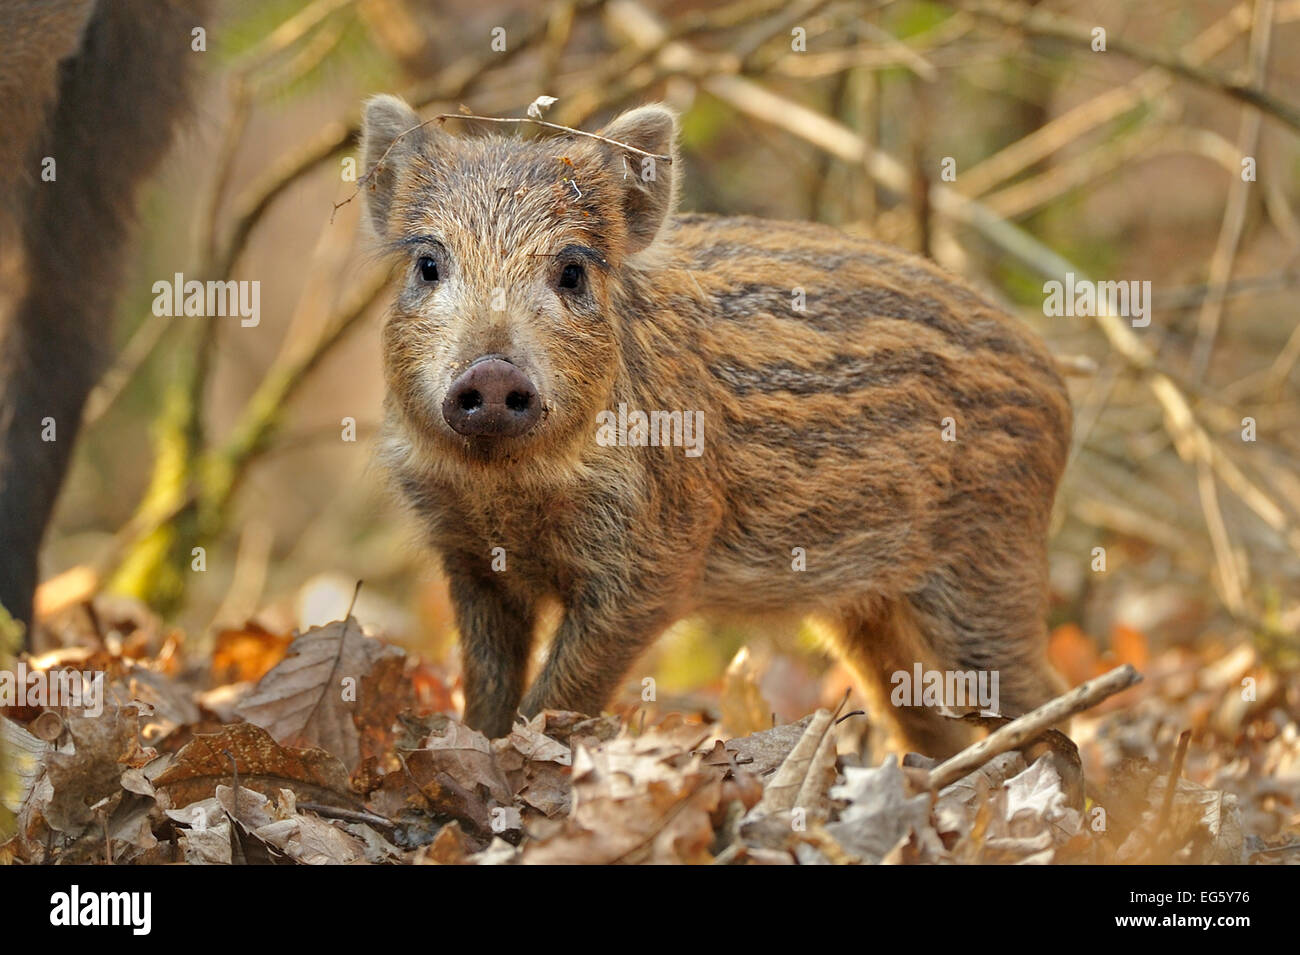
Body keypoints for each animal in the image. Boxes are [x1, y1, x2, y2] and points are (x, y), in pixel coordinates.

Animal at [359, 94, 1071, 757]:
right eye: (428, 265)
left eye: (572, 272)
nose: (491, 373)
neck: (506, 487)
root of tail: (1054, 377)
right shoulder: (467, 555)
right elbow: (486, 685)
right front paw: (477, 743)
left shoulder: (655, 555)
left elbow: (561, 692)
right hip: (870, 609)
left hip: (987, 565)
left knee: (1039, 696)